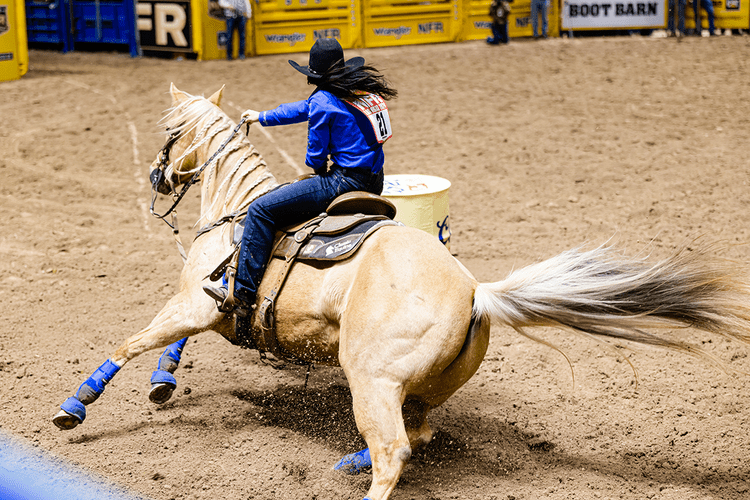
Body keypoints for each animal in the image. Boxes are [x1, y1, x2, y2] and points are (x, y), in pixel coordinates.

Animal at [53, 84, 750, 500]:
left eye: (169, 130)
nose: (157, 176)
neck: (238, 212)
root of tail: (475, 292)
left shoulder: (197, 302)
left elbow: (134, 340)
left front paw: (76, 406)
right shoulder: (206, 309)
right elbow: (170, 347)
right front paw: (162, 384)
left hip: (371, 377)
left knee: (395, 451)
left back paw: (361, 471)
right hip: (418, 386)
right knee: (418, 435)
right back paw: (349, 461)